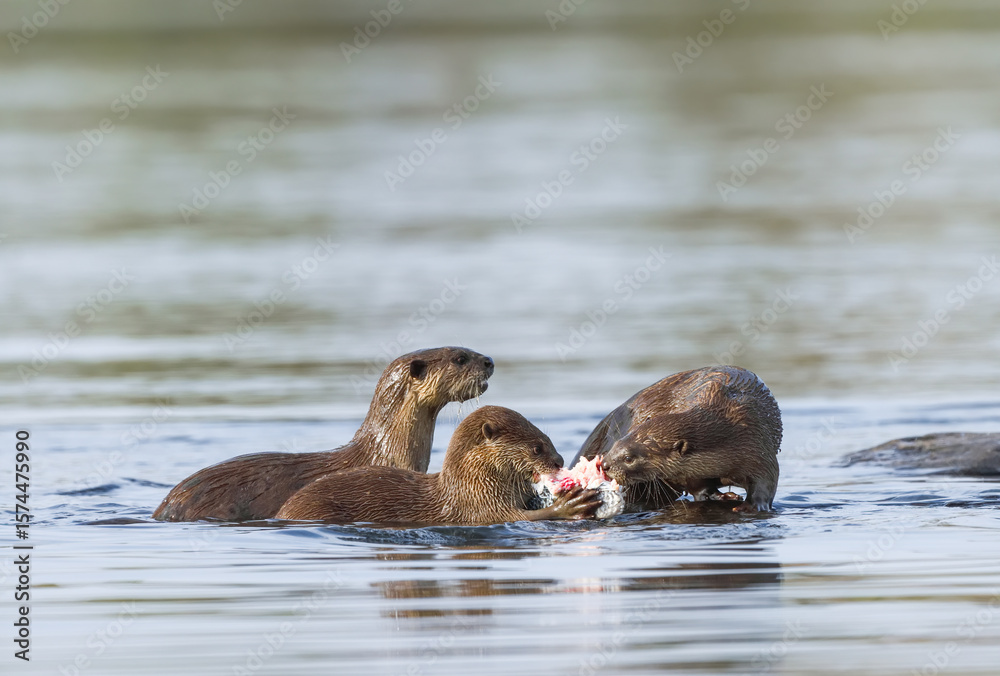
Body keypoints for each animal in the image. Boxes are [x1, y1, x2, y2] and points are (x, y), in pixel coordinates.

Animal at [276, 406, 601, 525]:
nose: (559, 460)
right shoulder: (478, 508)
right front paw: (570, 505)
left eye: (547, 437)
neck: (471, 482)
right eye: (537, 446)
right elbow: (518, 517)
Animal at [574, 366, 782, 512]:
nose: (604, 464)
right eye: (617, 445)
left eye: (629, 458)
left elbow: (767, 479)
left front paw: (751, 506)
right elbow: (697, 485)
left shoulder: (756, 445)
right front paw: (717, 496)